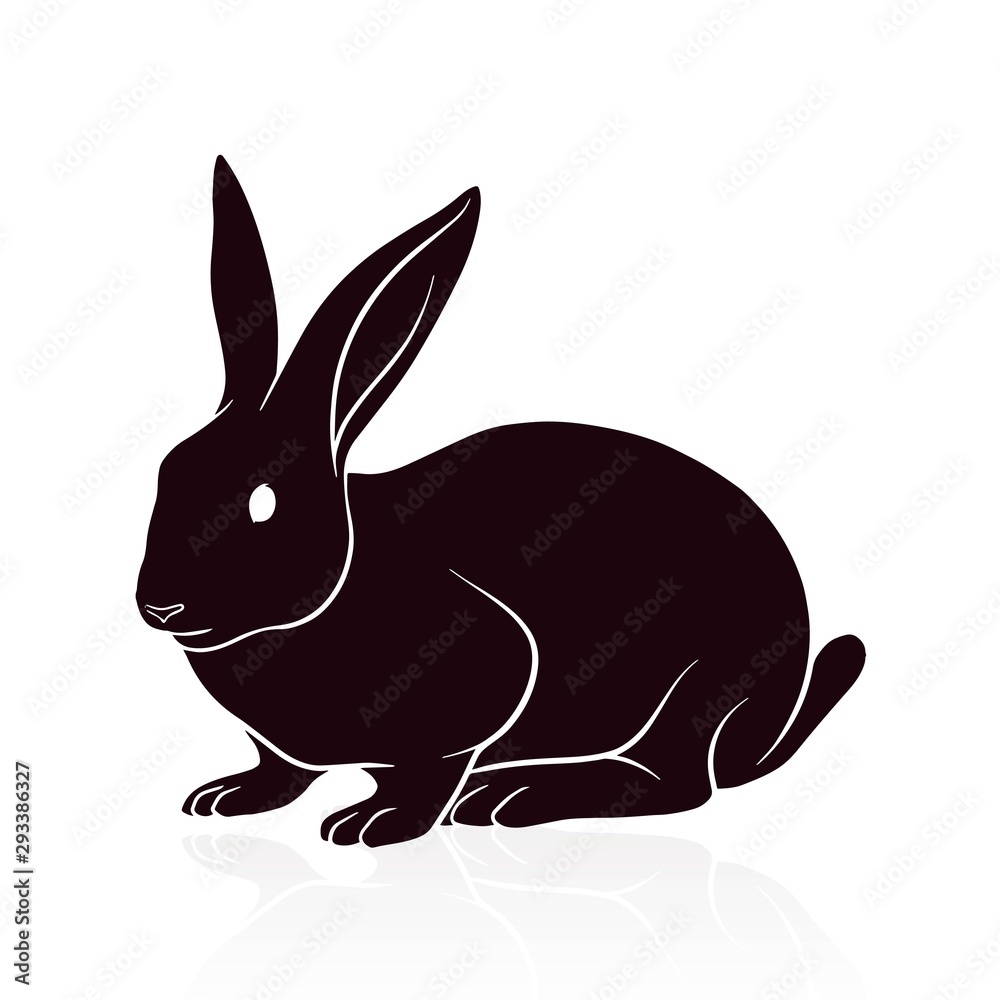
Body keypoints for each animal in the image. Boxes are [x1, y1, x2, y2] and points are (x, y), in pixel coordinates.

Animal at [136, 156, 865, 847]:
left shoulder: (481, 691)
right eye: (167, 472)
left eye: (264, 503)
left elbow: (431, 774)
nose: (159, 606)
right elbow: (280, 772)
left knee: (678, 784)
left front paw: (377, 824)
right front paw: (226, 797)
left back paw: (516, 802)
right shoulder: (286, 750)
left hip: (698, 689)